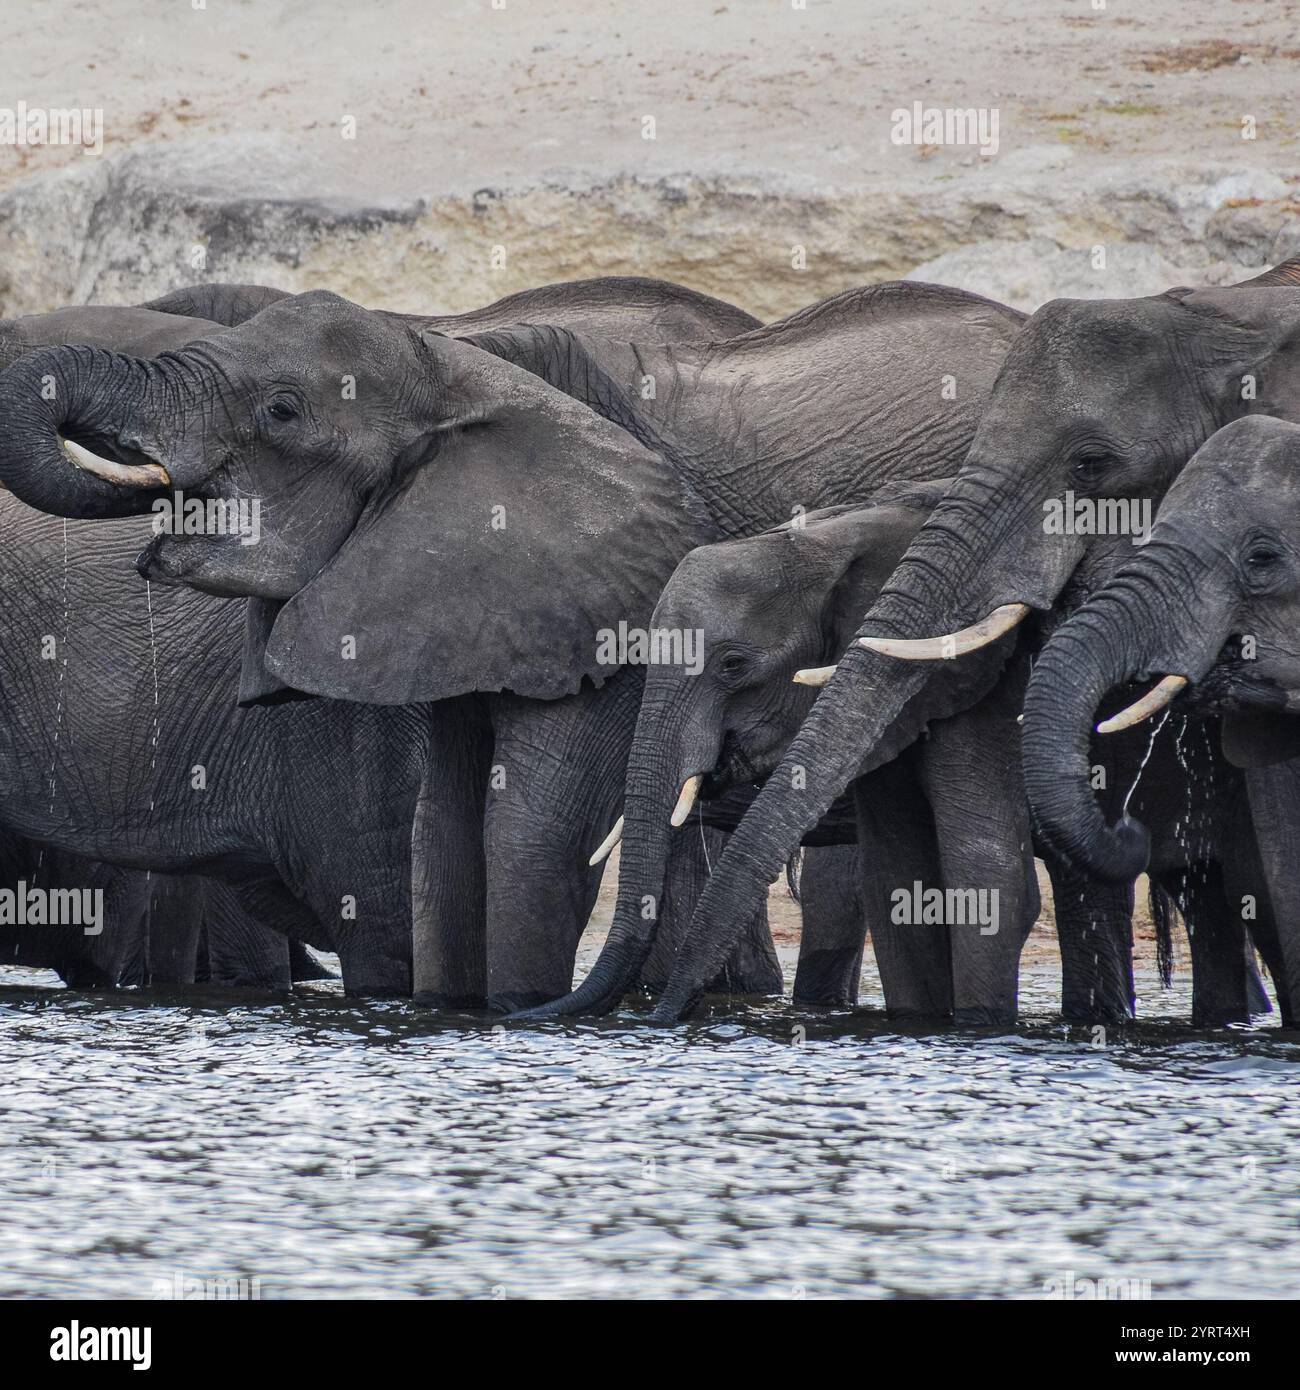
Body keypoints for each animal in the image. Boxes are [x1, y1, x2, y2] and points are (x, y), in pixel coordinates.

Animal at [612, 256, 1300, 1025]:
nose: (658, 1018)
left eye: (734, 665)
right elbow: (897, 883)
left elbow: (986, 874)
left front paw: (976, 1031)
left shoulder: (987, 687)